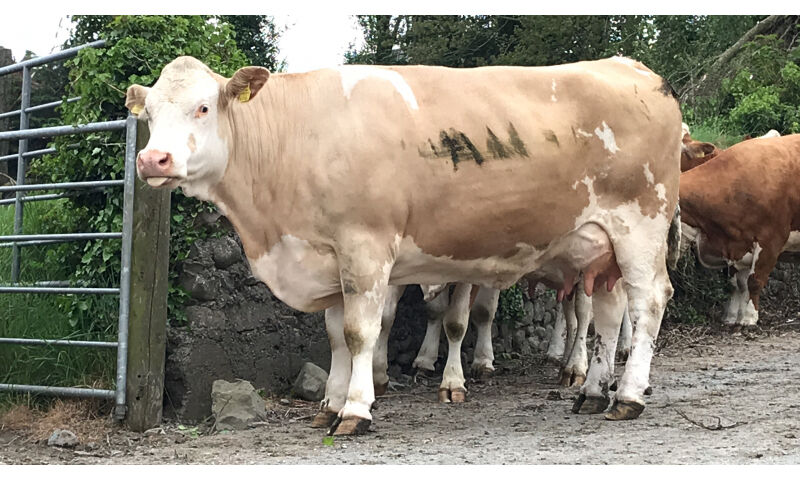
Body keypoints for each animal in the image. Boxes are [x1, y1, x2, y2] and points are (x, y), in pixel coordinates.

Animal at [126, 55, 682, 434]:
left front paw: (355, 410)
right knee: (610, 313)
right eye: (148, 113)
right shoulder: (330, 258)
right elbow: (334, 335)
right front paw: (330, 403)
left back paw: (628, 396)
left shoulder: (365, 246)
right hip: (601, 249)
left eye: (202, 107)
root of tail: (629, 66)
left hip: (641, 227)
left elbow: (359, 332)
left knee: (648, 303)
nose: (152, 159)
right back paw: (593, 391)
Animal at [680, 133, 800, 328]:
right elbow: (737, 284)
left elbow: (754, 281)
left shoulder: (770, 241)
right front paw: (732, 316)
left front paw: (749, 317)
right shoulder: (736, 244)